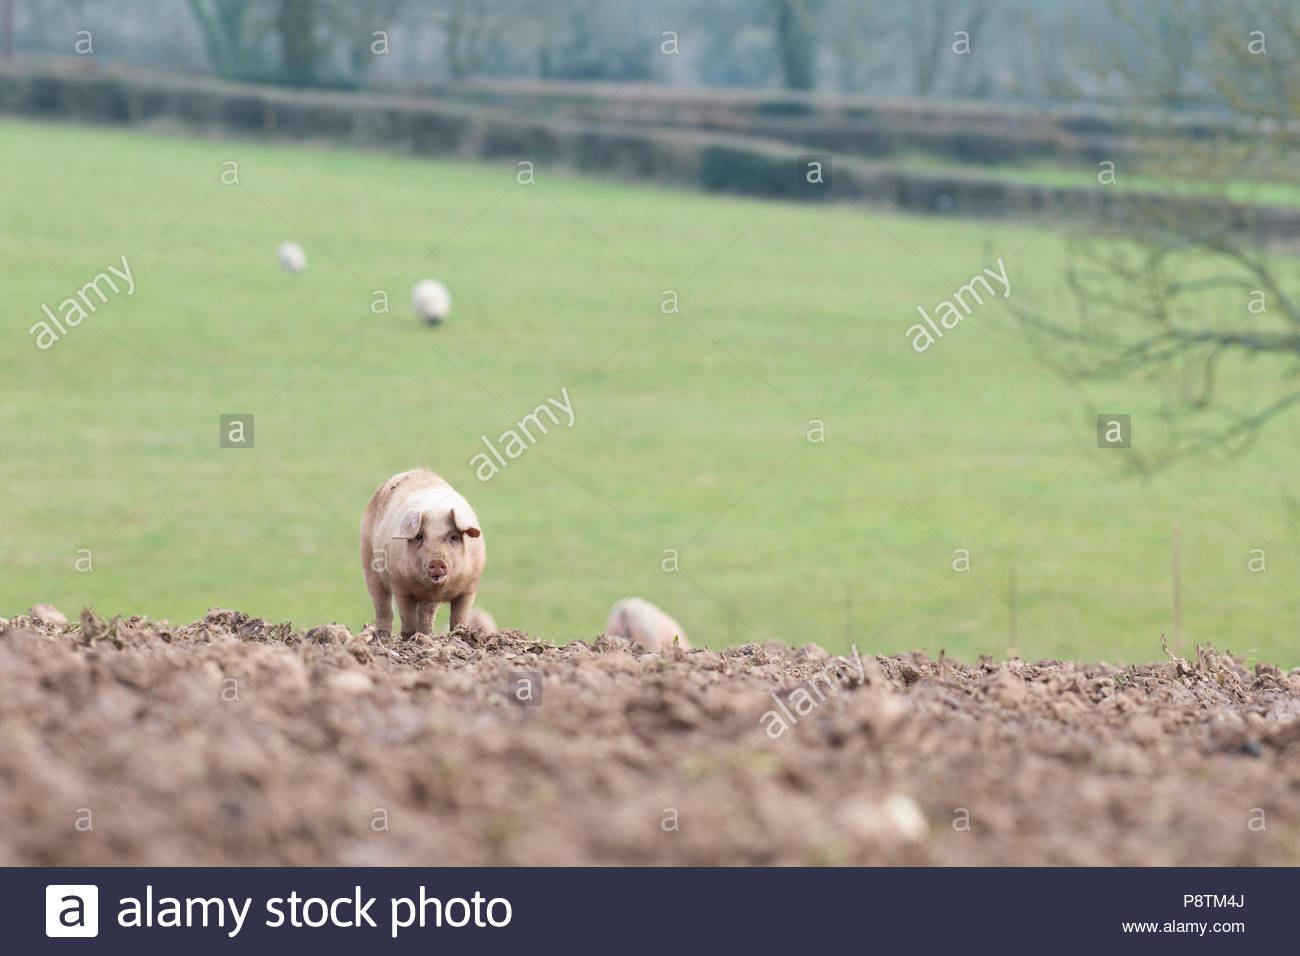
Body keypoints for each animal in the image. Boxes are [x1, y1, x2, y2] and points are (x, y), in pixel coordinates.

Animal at [360, 469, 485, 638]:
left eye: (453, 537)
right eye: (420, 536)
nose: (437, 561)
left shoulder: (470, 587)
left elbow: (459, 617)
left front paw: (460, 634)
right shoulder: (400, 586)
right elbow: (407, 617)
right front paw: (408, 638)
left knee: (426, 613)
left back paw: (428, 635)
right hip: (369, 565)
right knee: (382, 606)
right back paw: (384, 638)